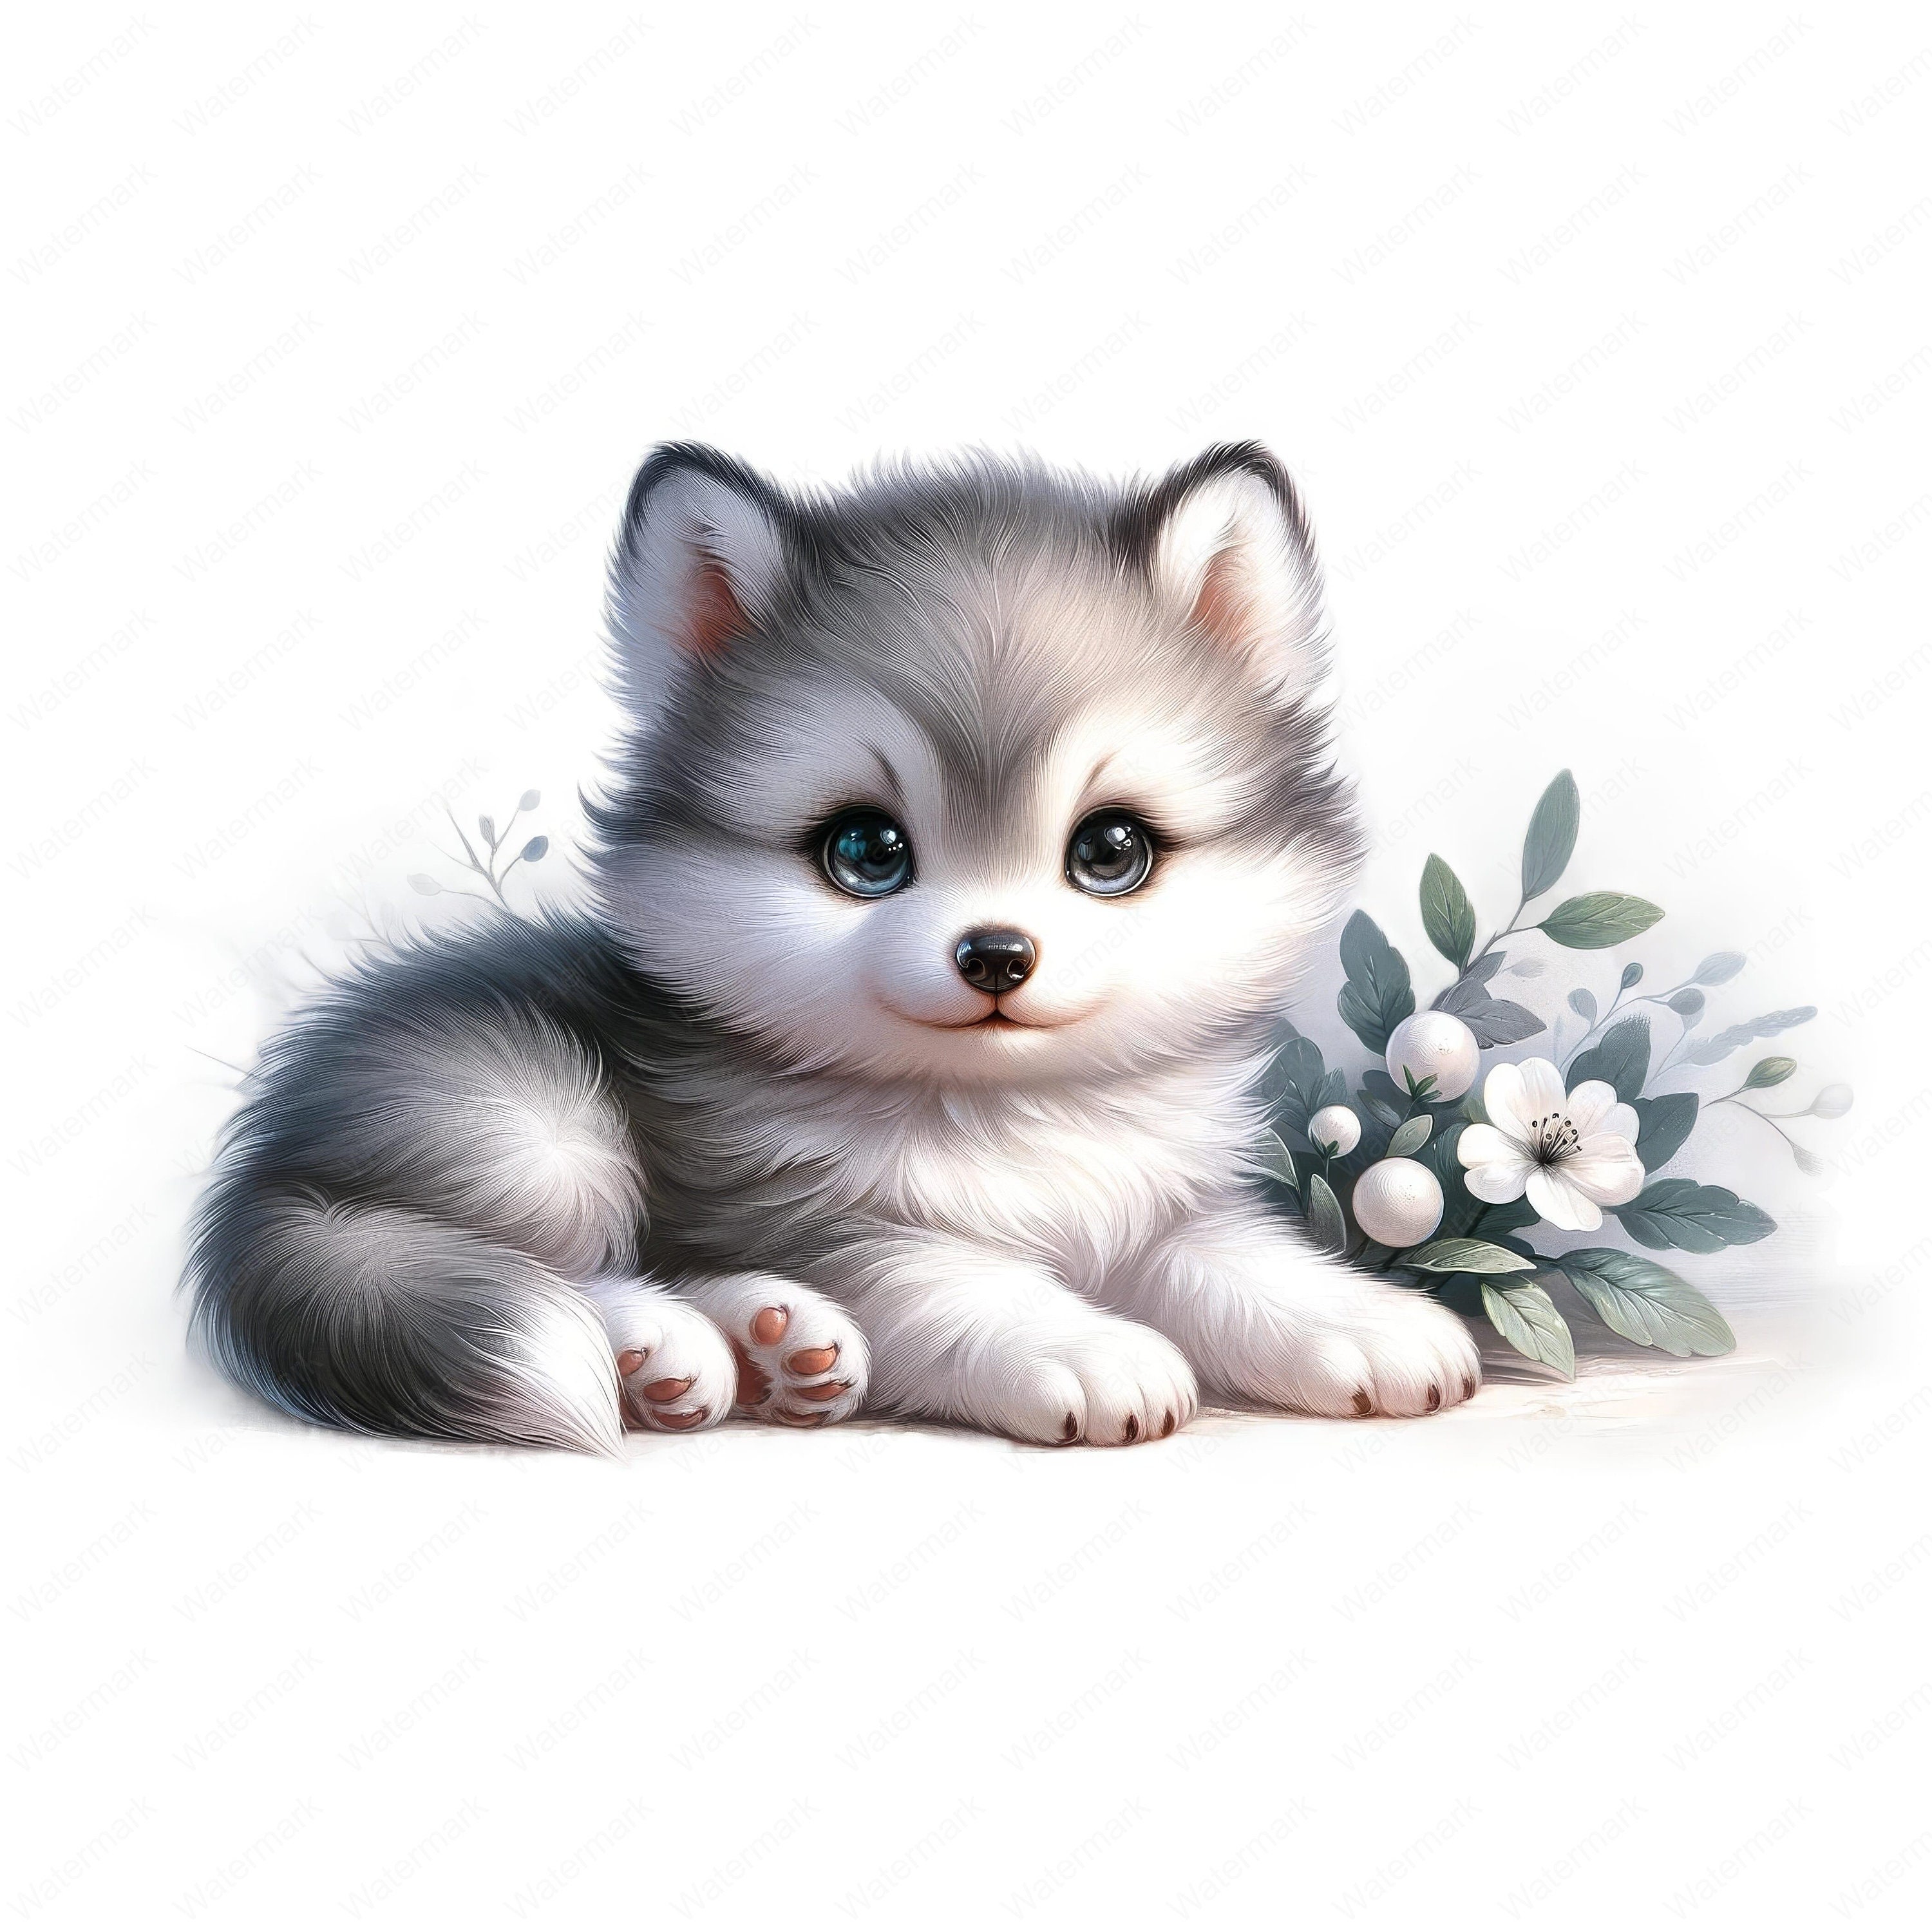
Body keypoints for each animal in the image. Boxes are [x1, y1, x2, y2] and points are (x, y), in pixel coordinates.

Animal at [188, 441, 1481, 1450]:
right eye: (865, 851)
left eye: (1111, 849)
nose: (996, 956)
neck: (1004, 1117)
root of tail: (268, 1170)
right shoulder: (813, 1216)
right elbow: (960, 1284)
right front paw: (1084, 1346)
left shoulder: (1153, 1208)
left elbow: (1238, 1266)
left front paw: (1359, 1319)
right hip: (536, 1131)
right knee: (520, 1260)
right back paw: (667, 1344)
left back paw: (778, 1347)